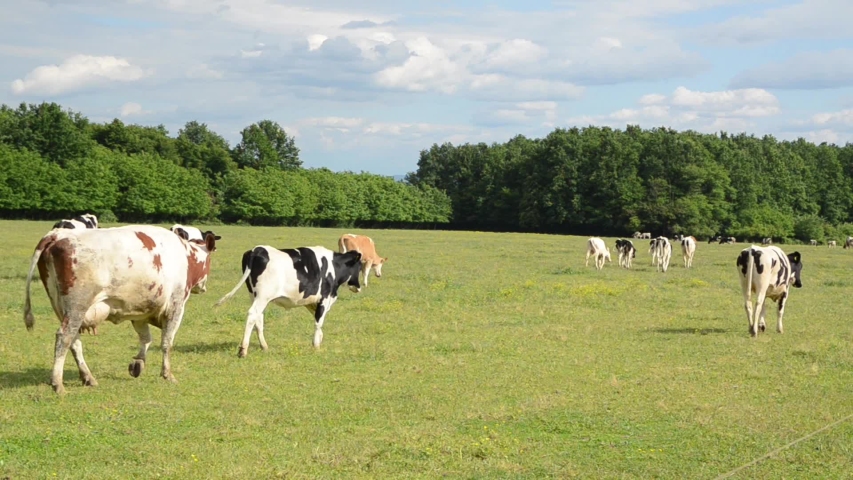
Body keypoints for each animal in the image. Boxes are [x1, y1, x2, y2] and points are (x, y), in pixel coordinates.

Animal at [22, 225, 217, 394]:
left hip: (61, 307)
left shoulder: (140, 312)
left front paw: (138, 364)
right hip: (77, 306)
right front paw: (167, 374)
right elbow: (166, 343)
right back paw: (58, 384)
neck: (185, 255)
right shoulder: (176, 306)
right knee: (64, 338)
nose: (204, 287)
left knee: (74, 342)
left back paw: (88, 377)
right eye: (209, 260)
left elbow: (146, 338)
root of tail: (57, 234)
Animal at [215, 246, 363, 358]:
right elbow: (318, 322)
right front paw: (316, 345)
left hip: (255, 295)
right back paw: (243, 350)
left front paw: (319, 338)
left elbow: (317, 320)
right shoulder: (324, 298)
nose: (359, 287)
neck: (334, 266)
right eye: (360, 267)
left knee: (258, 319)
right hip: (263, 296)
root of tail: (258, 249)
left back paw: (264, 346)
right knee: (252, 315)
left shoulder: (311, 301)